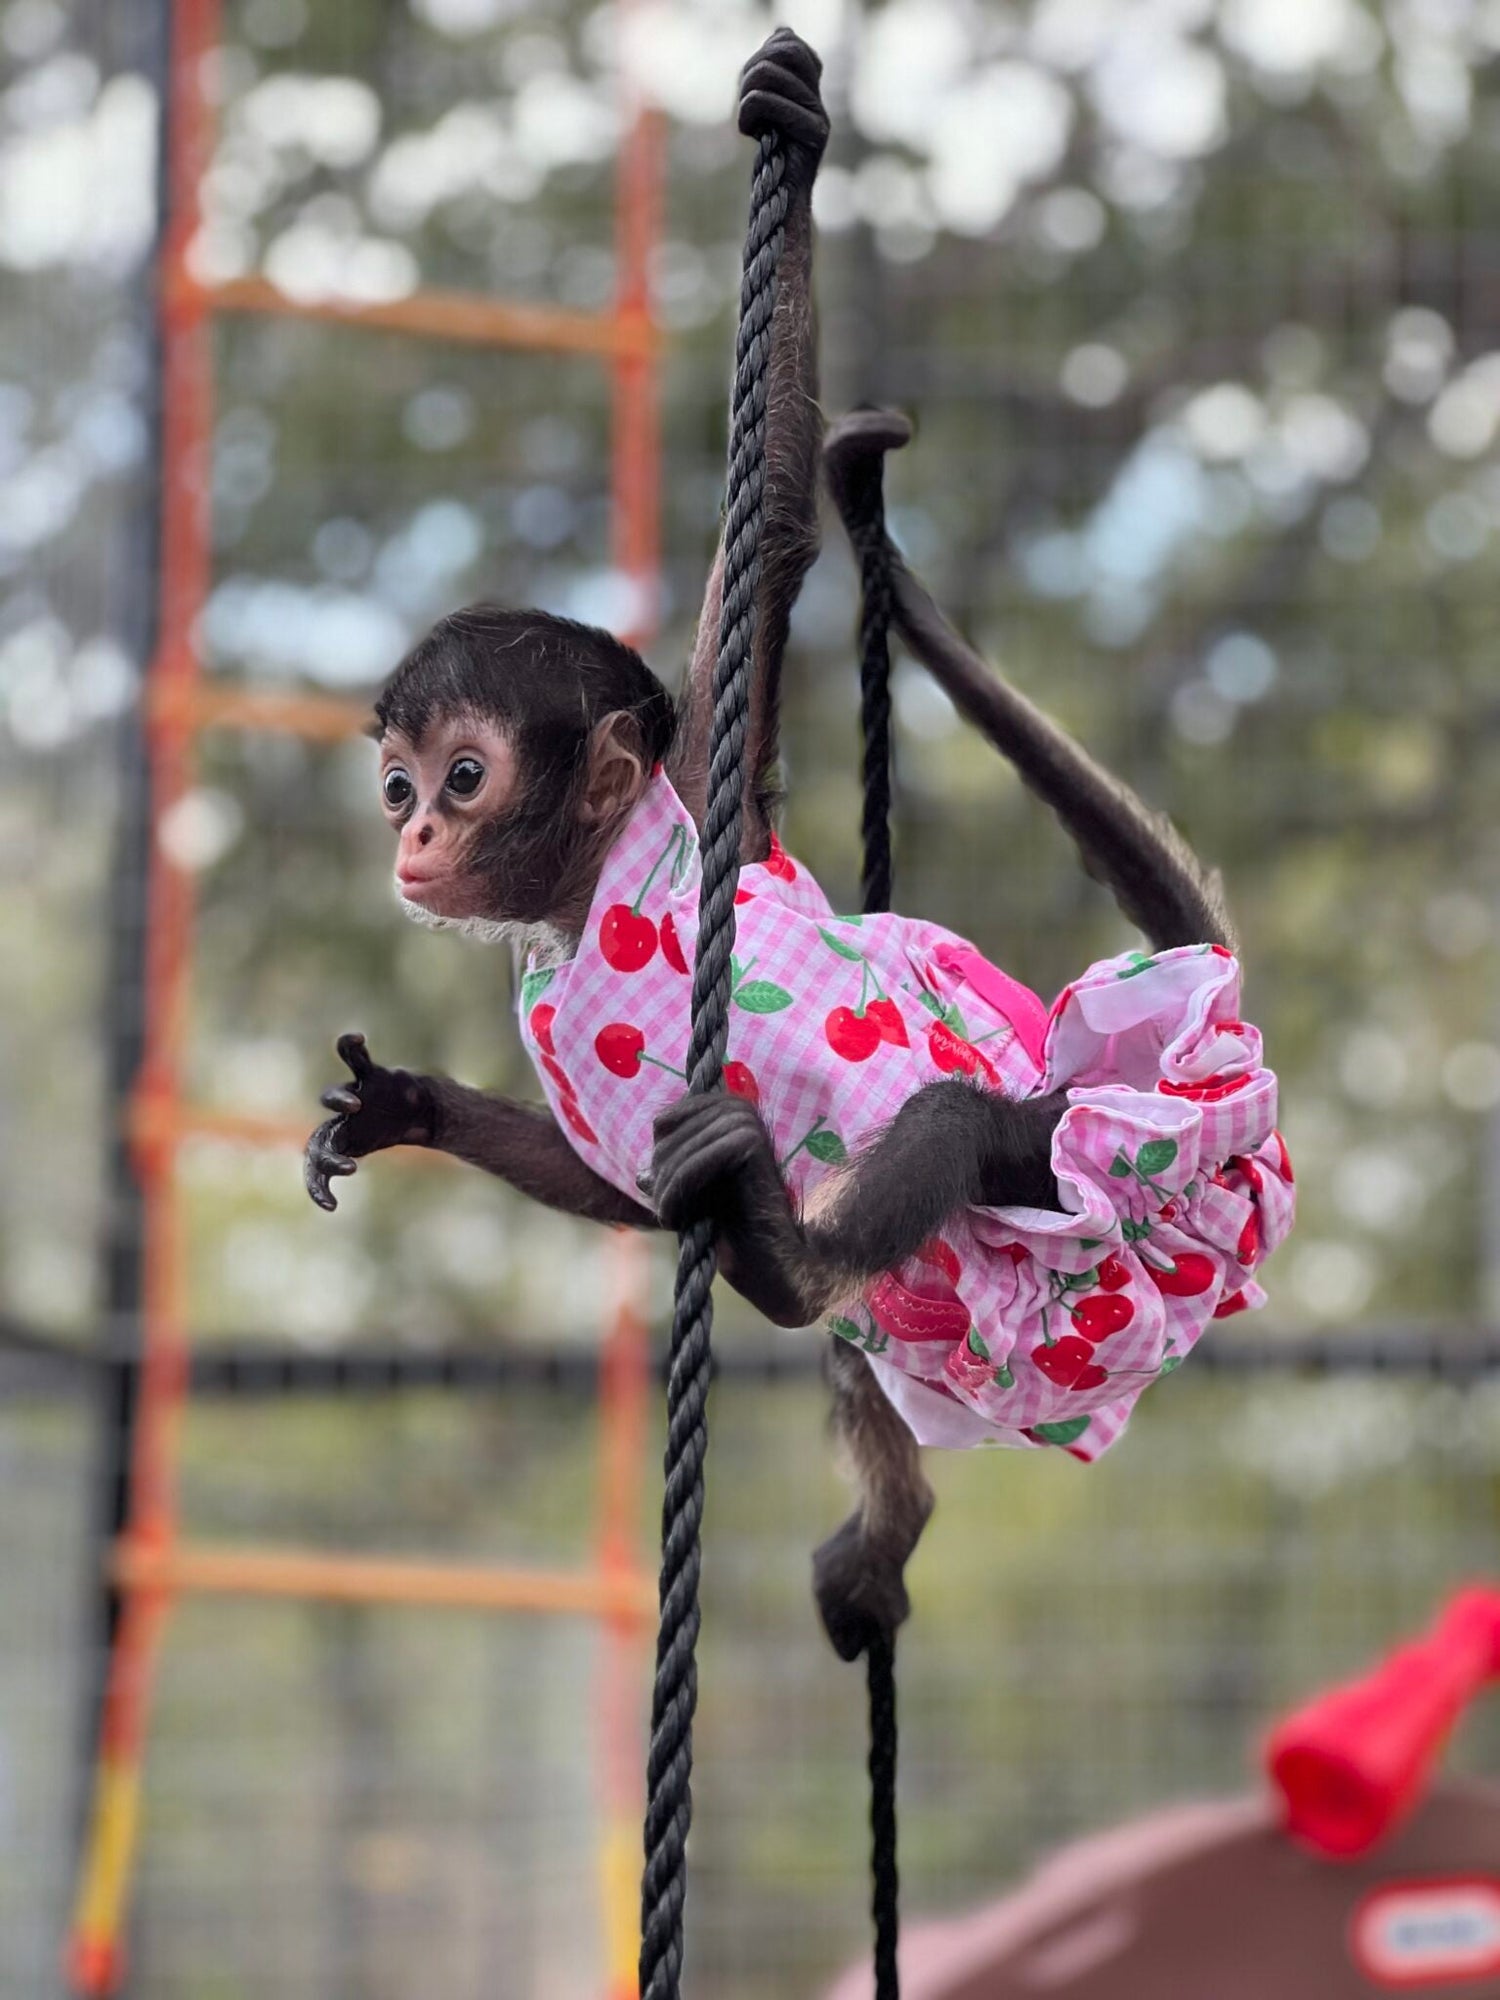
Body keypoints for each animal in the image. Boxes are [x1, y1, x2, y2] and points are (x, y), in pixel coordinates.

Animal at [305, 32, 1294, 1665]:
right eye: (397, 787)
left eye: (462, 773)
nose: (423, 830)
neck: (581, 907)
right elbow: (619, 1187)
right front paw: (411, 1110)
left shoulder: (709, 791)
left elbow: (767, 537)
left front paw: (797, 120)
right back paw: (885, 1518)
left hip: (1156, 1182)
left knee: (961, 1129)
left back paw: (783, 1253)